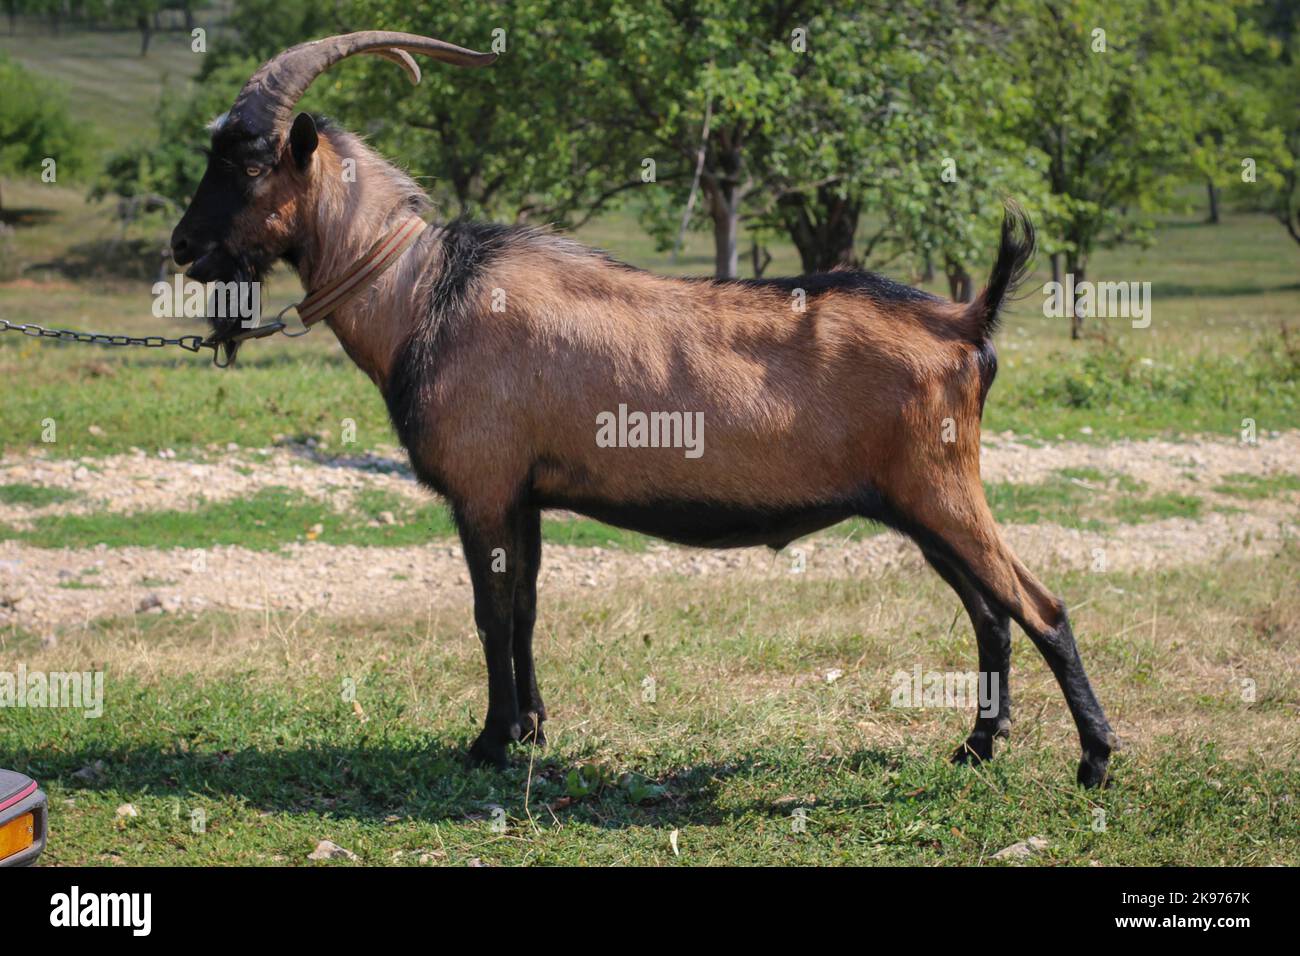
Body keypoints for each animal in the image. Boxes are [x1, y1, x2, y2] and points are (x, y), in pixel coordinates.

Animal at [170, 32, 1116, 786]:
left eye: (246, 164)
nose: (182, 247)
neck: (424, 291)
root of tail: (965, 321)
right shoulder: (523, 493)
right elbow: (525, 609)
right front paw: (532, 731)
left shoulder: (482, 486)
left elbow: (488, 613)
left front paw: (489, 743)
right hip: (917, 504)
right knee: (991, 613)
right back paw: (976, 749)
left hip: (941, 490)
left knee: (1041, 608)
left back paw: (1094, 762)